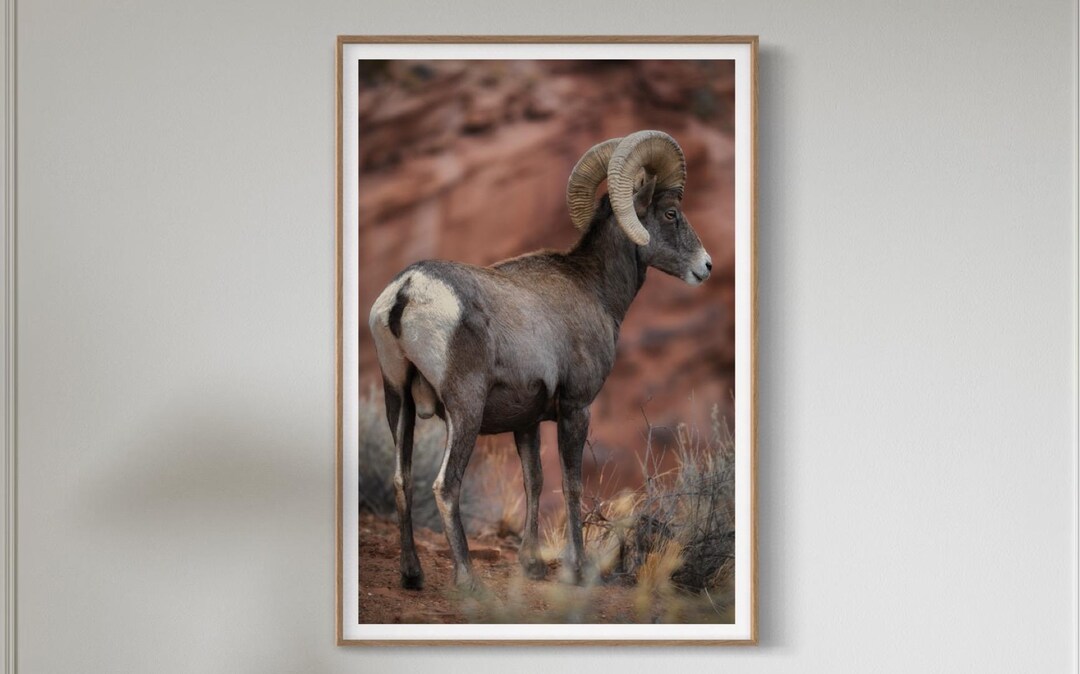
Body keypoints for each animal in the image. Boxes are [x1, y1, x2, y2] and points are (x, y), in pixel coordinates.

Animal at [368, 130, 713, 593]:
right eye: (671, 213)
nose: (705, 267)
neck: (595, 291)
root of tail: (407, 291)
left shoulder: (526, 421)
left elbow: (534, 481)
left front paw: (530, 566)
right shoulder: (576, 408)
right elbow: (570, 485)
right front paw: (578, 571)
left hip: (398, 400)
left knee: (402, 480)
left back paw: (412, 575)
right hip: (464, 409)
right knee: (445, 485)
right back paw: (468, 581)